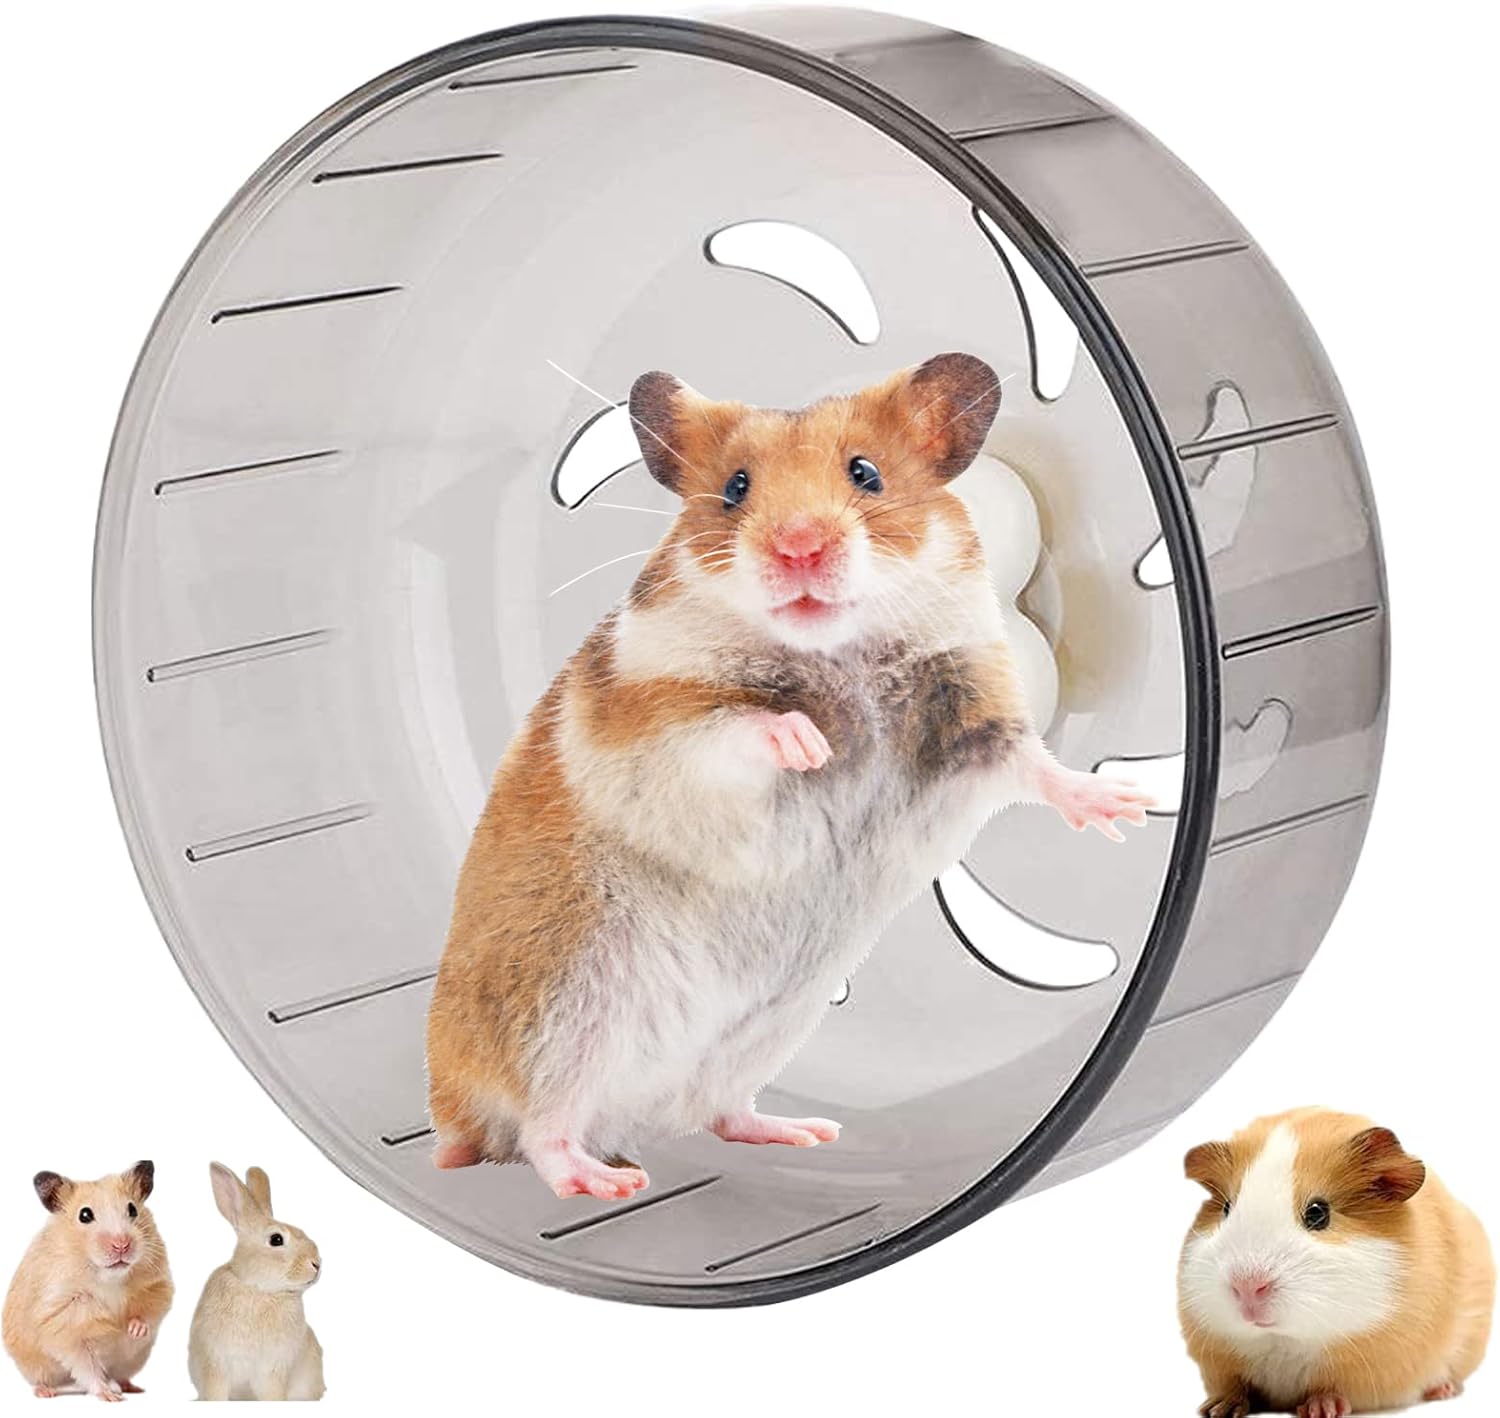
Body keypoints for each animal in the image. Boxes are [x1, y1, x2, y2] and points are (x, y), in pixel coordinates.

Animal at [2, 1162, 172, 1401]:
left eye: (132, 1209)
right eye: (84, 1215)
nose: (122, 1245)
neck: (108, 1278)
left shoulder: (158, 1283)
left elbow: (149, 1310)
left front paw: (133, 1329)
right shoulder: (63, 1322)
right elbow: (86, 1365)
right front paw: (109, 1396)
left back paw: (131, 1387)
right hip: (36, 1367)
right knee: (56, 1382)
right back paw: (47, 1391)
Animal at [426, 352, 1151, 1200]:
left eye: (866, 473)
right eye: (735, 487)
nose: (798, 548)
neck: (839, 651)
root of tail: (448, 1110)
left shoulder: (974, 719)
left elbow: (1034, 765)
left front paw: (1127, 807)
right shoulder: (655, 723)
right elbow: (736, 727)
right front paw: (810, 744)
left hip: (760, 1033)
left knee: (717, 1114)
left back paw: (802, 1132)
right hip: (562, 1012)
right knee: (539, 1131)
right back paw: (604, 1182)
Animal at [1179, 1108, 1494, 1417]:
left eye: (1318, 1213)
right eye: (1226, 1208)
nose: (1247, 1287)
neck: (1282, 1340)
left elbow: (1331, 1389)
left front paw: (1320, 1410)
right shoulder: (1221, 1360)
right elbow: (1236, 1386)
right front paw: (1216, 1409)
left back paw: (1443, 1390)